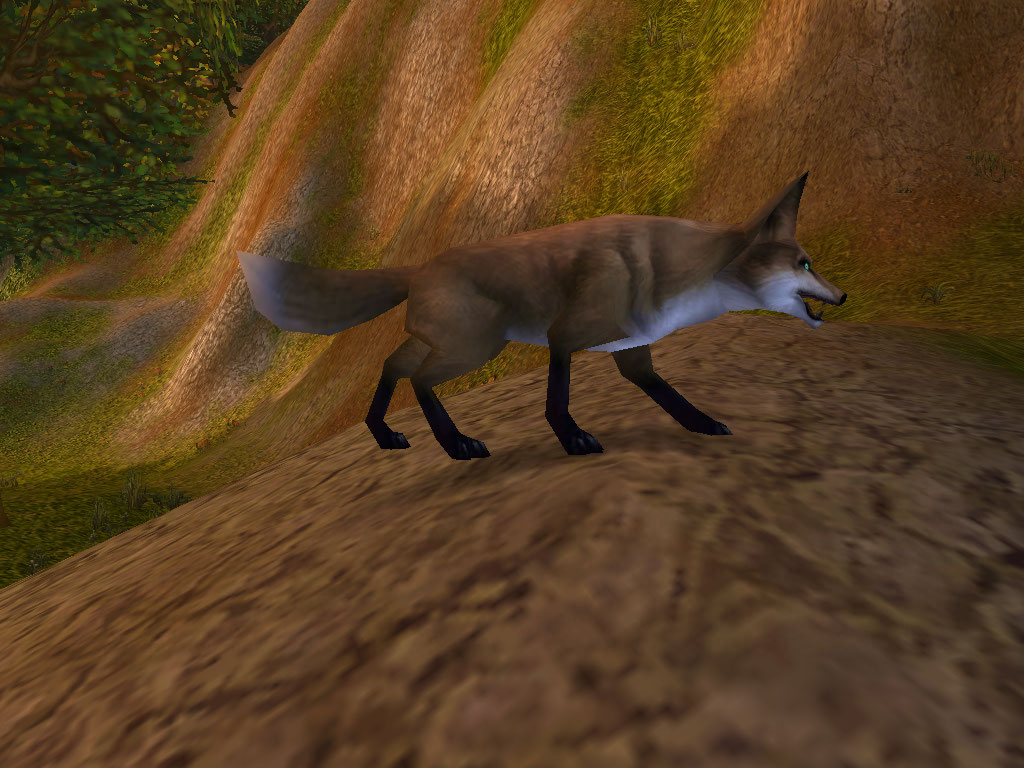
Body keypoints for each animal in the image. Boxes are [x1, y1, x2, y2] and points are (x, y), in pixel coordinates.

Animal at [238, 172, 846, 460]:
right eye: (804, 263)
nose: (841, 297)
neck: (675, 272)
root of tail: (421, 264)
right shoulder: (566, 334)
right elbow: (556, 400)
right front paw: (573, 439)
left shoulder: (632, 348)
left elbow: (669, 394)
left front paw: (704, 424)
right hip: (476, 346)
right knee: (419, 378)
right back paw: (457, 446)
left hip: (452, 340)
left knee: (391, 364)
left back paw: (384, 434)